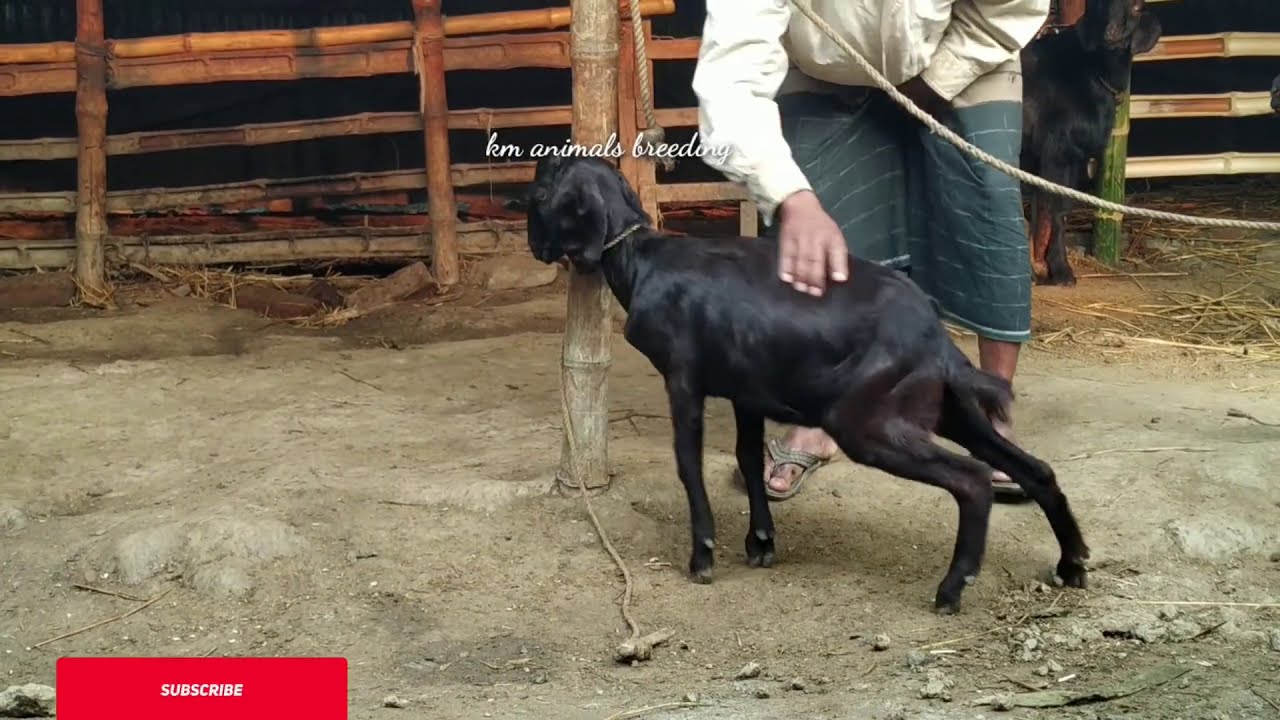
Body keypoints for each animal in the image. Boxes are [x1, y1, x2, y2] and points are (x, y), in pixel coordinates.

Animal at [525, 154, 1090, 614]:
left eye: (545, 190)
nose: (533, 242)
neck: (643, 261)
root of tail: (933, 336)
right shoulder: (746, 391)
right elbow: (747, 457)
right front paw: (761, 542)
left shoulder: (684, 382)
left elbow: (688, 464)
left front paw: (703, 555)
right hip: (952, 410)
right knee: (1036, 470)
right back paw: (1073, 563)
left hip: (867, 422)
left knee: (973, 480)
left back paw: (953, 588)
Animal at [1021, 0, 1162, 286]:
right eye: (1101, 5)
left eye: (1137, 7)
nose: (1111, 34)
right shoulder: (1060, 154)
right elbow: (1058, 211)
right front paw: (1062, 272)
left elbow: (1045, 211)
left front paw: (1041, 270)